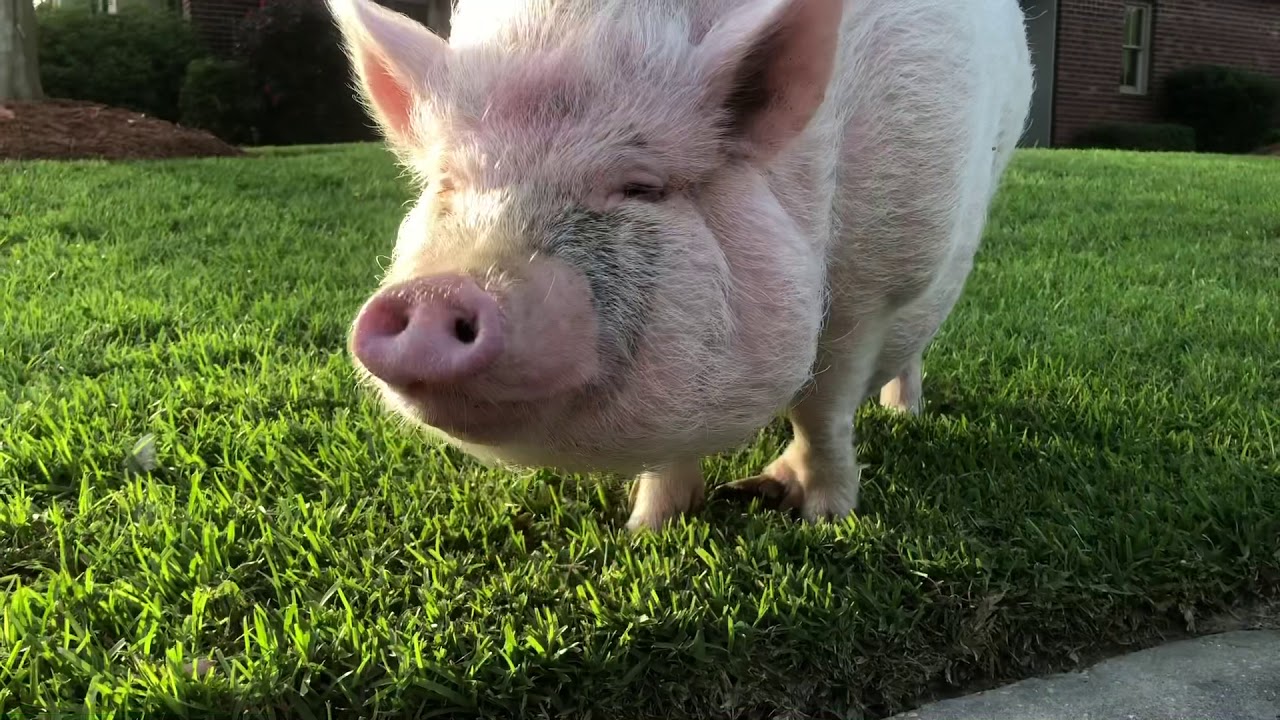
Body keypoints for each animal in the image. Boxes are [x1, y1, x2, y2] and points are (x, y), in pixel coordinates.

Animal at [329, 0, 1034, 532]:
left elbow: (823, 406)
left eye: (639, 187)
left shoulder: (869, 288)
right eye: (449, 183)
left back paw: (899, 415)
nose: (439, 289)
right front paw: (648, 529)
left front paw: (824, 518)